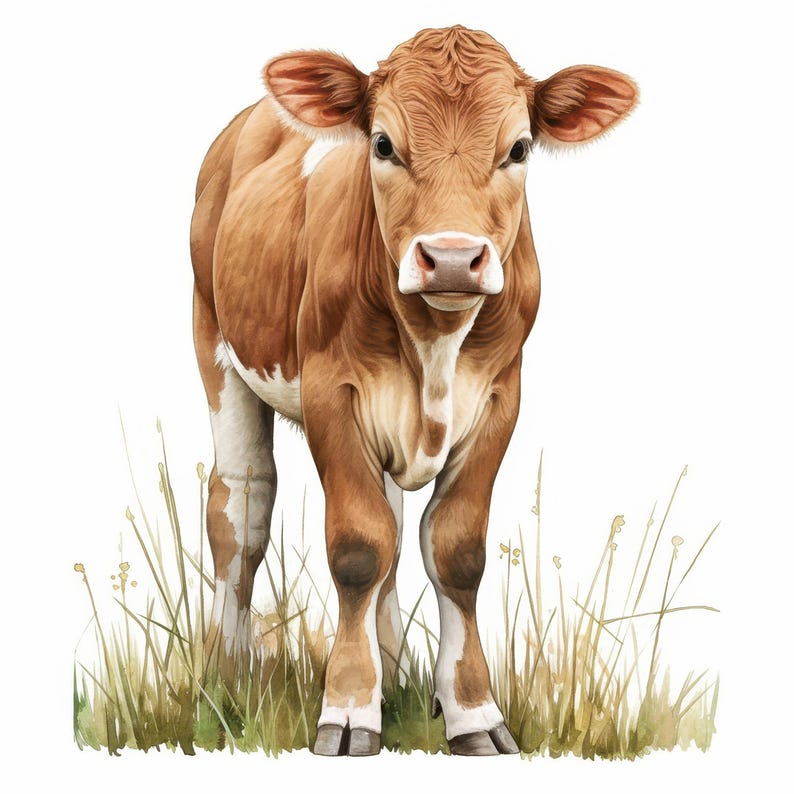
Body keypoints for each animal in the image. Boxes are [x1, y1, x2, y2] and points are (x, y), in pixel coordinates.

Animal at [190, 25, 637, 756]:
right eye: (382, 144)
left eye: (519, 148)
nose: (453, 257)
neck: (434, 341)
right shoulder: (330, 392)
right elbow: (356, 546)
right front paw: (348, 710)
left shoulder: (501, 398)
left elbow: (452, 551)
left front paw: (470, 713)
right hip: (215, 343)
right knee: (242, 509)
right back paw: (227, 679)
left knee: (395, 528)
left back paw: (395, 675)